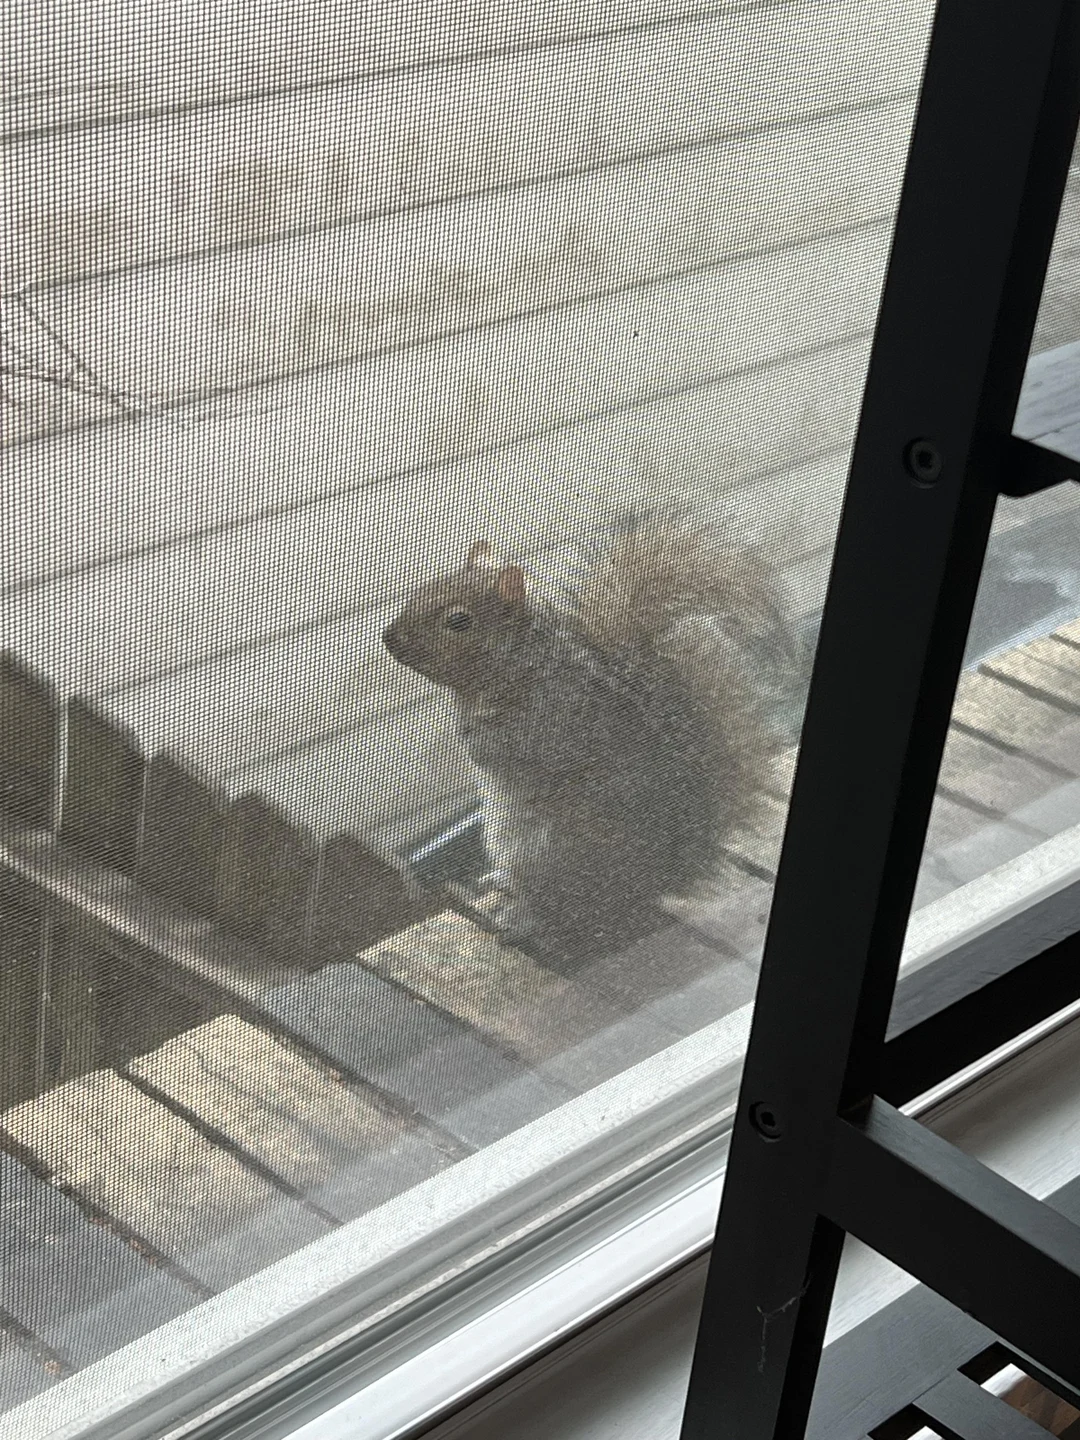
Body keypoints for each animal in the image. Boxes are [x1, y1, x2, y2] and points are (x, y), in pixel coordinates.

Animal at [382, 516, 814, 961]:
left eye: (458, 621)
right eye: (423, 588)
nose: (389, 638)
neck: (518, 659)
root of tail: (660, 879)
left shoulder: (551, 710)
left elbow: (505, 749)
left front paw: (471, 737)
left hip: (551, 854)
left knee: (576, 917)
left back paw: (531, 923)